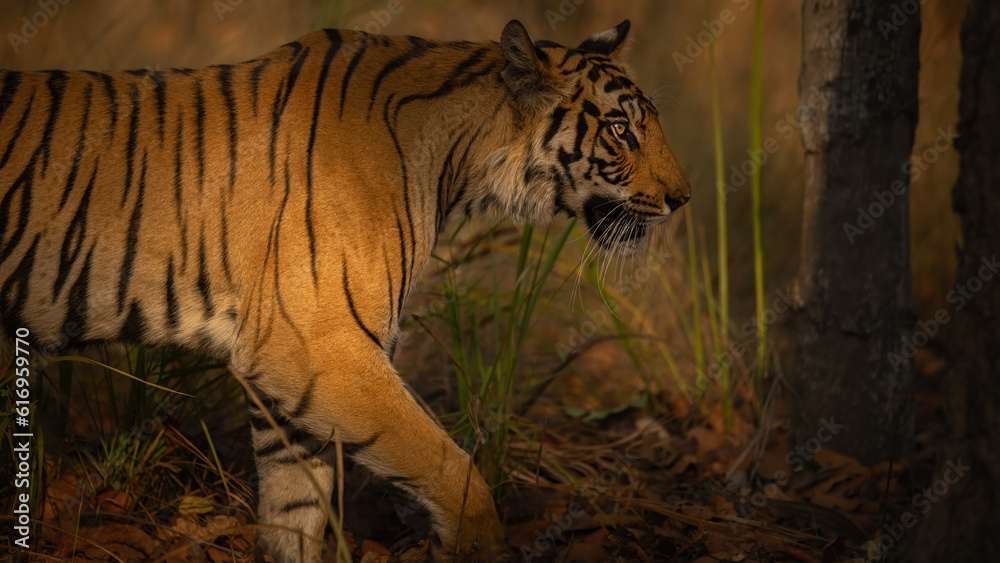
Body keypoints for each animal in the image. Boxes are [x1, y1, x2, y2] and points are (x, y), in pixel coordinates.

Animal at [0, 18, 690, 562]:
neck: (460, 164)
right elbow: (450, 467)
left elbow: (295, 506)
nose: (683, 199)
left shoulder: (290, 370)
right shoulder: (318, 346)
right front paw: (478, 544)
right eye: (622, 130)